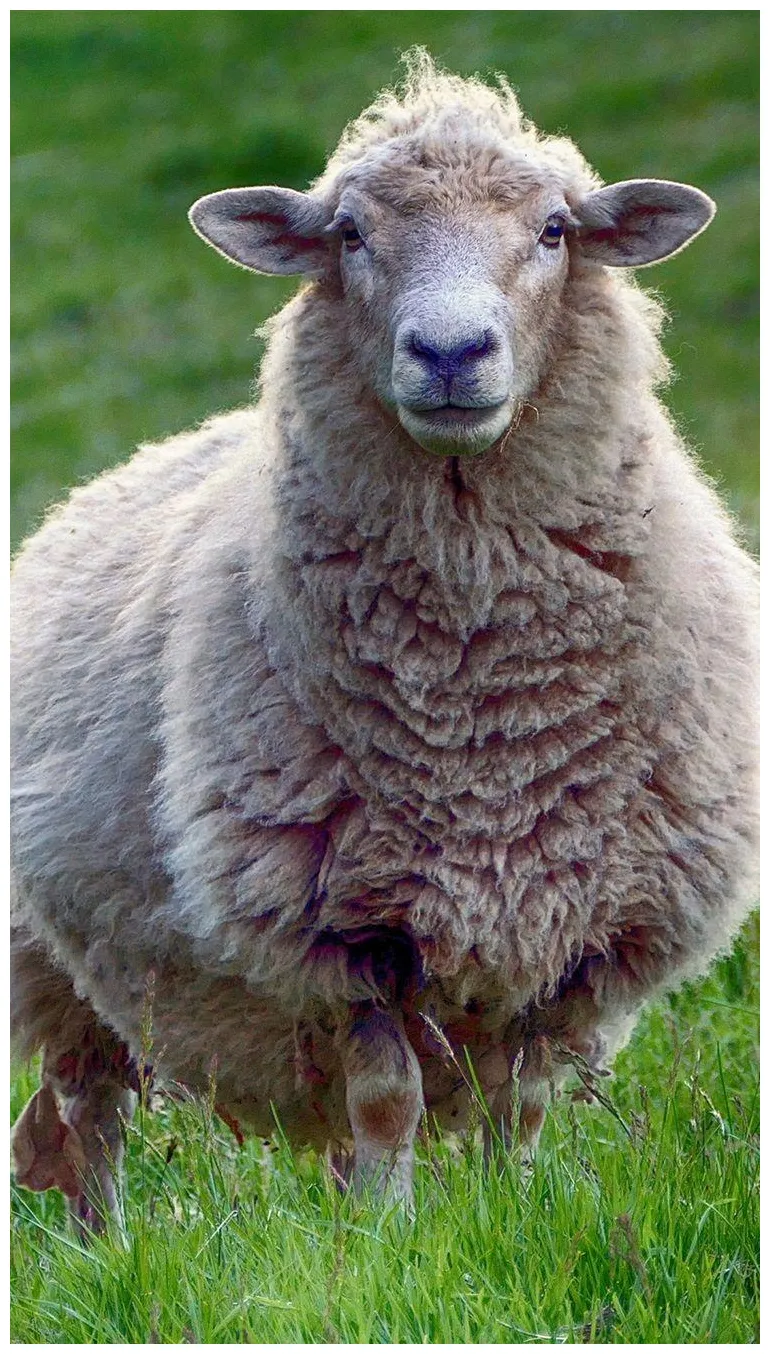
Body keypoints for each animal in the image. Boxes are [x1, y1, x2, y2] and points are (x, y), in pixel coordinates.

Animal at [11, 51, 758, 1230]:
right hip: (56, 962)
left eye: (554, 229)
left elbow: (521, 1103)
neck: (481, 712)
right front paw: (390, 1233)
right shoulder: (341, 932)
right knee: (84, 1120)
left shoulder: (579, 928)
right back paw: (104, 1247)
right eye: (350, 235)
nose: (450, 351)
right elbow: (387, 1097)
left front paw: (508, 1213)